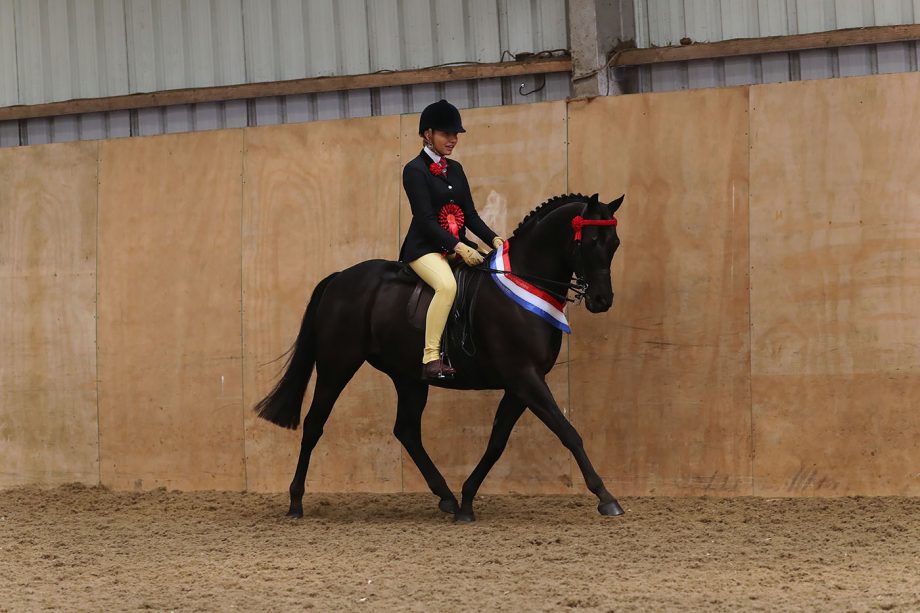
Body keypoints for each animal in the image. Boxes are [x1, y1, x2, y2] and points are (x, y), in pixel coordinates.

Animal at [254, 192, 625, 522]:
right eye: (591, 241)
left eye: (615, 244)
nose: (602, 300)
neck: (523, 281)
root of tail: (339, 279)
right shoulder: (525, 377)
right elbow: (567, 431)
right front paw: (606, 497)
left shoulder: (520, 384)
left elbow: (497, 442)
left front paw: (467, 500)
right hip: (337, 365)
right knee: (314, 424)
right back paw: (295, 503)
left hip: (409, 377)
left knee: (406, 431)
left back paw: (446, 497)